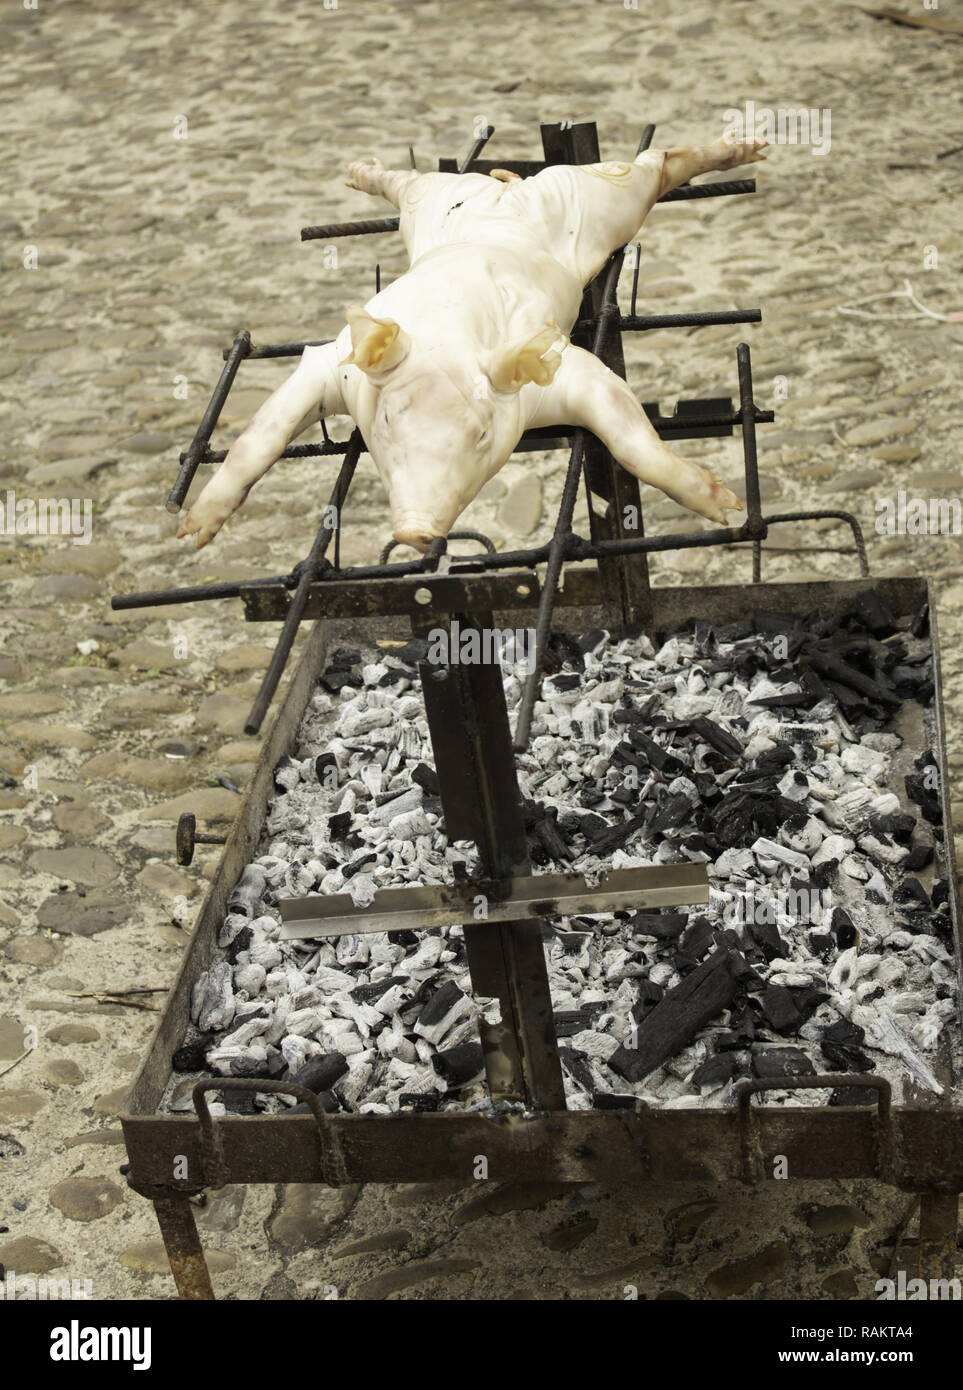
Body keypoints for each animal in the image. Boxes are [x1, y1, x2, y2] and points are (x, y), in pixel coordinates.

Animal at [177, 132, 768, 553]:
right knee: (406, 180)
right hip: (435, 198)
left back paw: (747, 147)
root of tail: (507, 186)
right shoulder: (333, 366)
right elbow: (262, 436)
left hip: (594, 198)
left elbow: (628, 432)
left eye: (482, 434)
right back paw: (359, 171)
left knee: (653, 165)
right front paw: (191, 532)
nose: (415, 533)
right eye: (386, 421)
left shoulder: (556, 374)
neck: (448, 335)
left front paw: (728, 508)